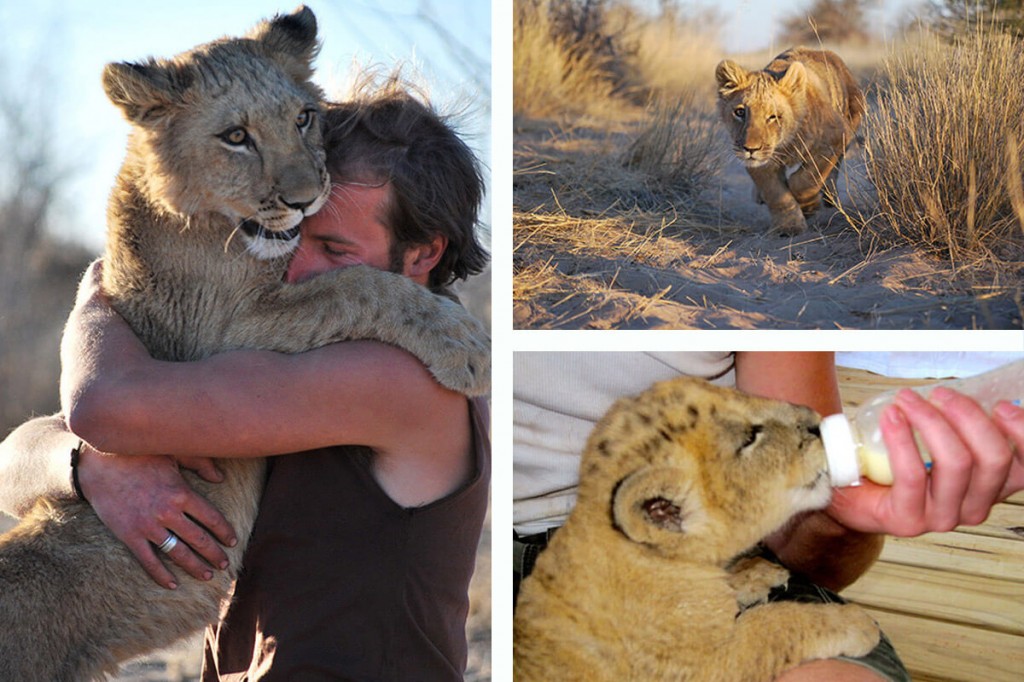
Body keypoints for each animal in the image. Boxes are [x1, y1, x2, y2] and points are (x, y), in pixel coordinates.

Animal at [0, 7, 488, 680]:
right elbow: (355, 286)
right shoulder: (227, 331)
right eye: (236, 136)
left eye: (304, 118)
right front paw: (462, 343)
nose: (307, 198)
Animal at [513, 377, 879, 681]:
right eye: (750, 438)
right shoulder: (703, 669)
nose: (816, 420)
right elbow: (772, 624)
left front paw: (753, 573)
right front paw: (854, 623)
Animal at [715, 47, 865, 236]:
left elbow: (808, 179)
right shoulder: (761, 162)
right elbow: (776, 193)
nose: (750, 149)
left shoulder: (836, 136)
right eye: (740, 112)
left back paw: (829, 197)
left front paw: (808, 206)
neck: (785, 143)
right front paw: (788, 227)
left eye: (772, 117)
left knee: (834, 168)